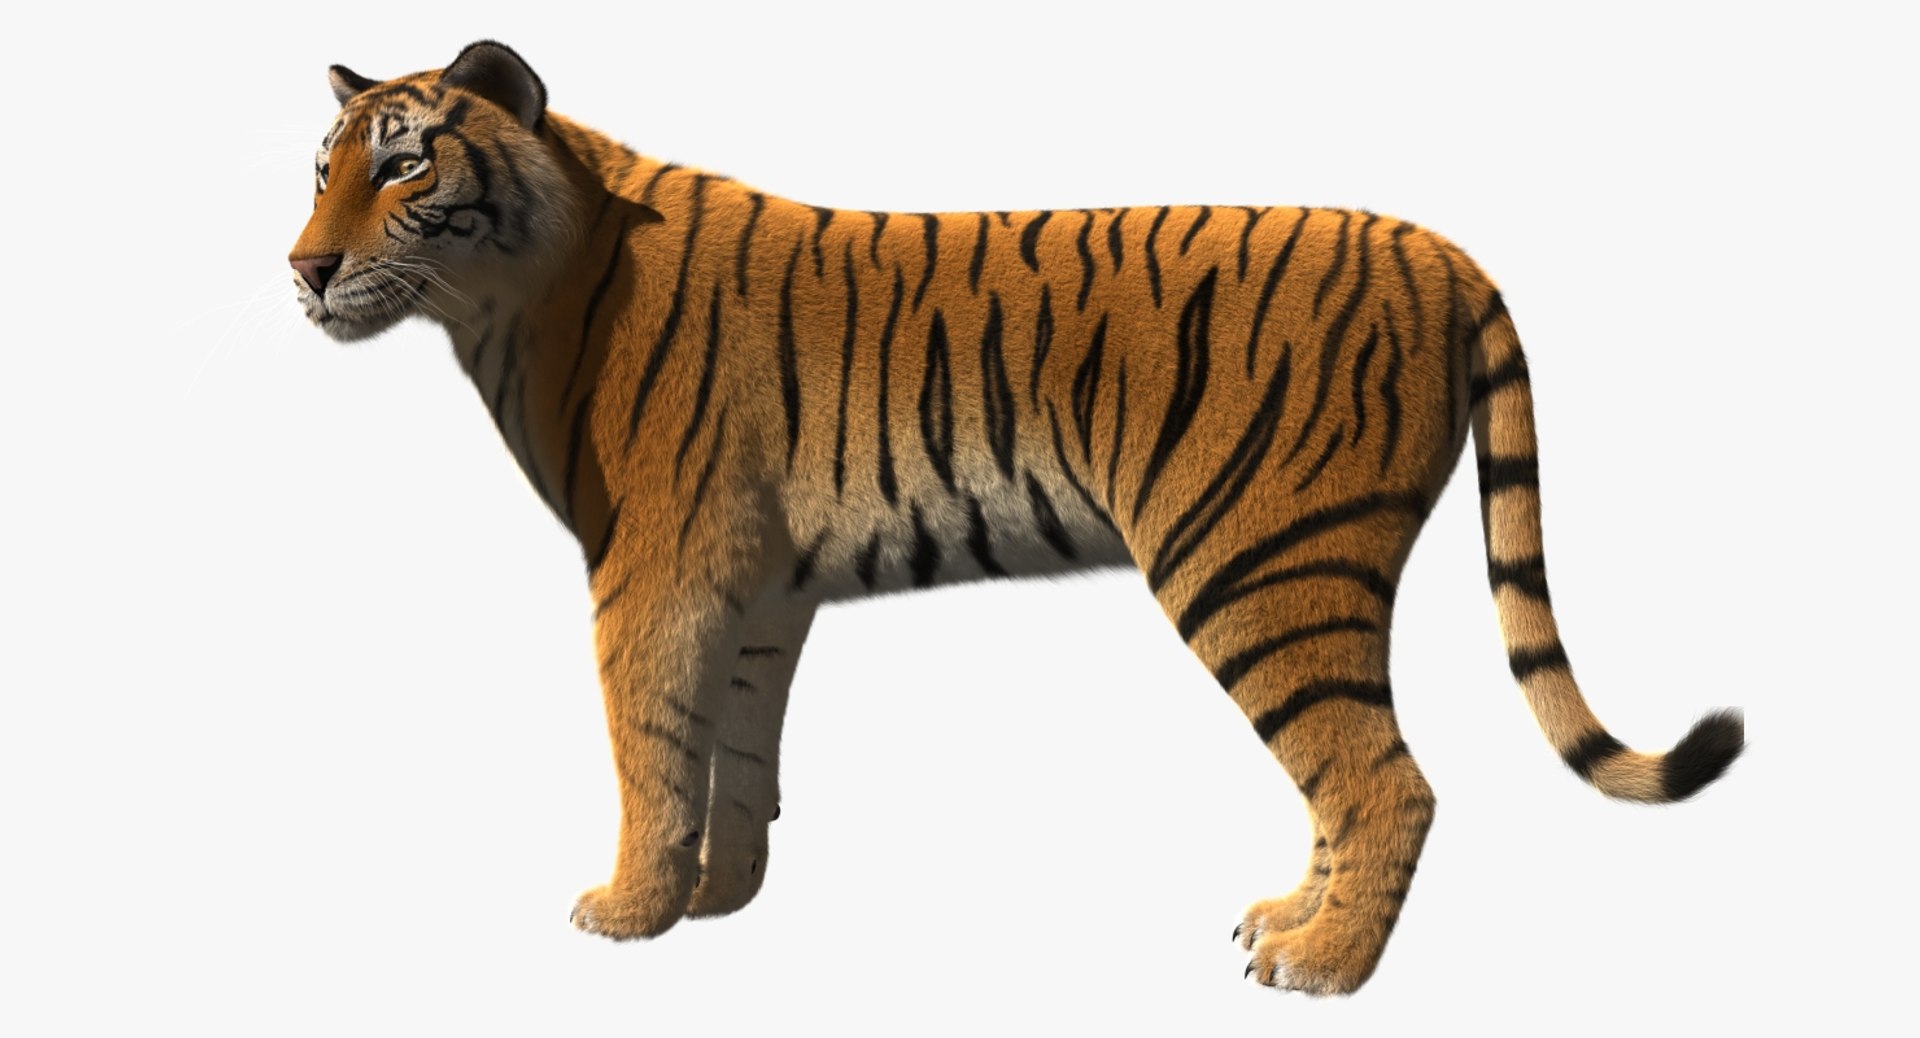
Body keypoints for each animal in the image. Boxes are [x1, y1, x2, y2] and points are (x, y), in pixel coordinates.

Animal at [289, 40, 1745, 996]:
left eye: (405, 168)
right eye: (318, 172)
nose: (303, 268)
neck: (516, 299)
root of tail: (1440, 250)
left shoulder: (650, 578)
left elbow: (649, 750)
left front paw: (628, 913)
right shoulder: (755, 593)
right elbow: (738, 753)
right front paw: (722, 900)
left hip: (1260, 565)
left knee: (1388, 777)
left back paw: (1325, 967)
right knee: (1347, 776)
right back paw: (1286, 922)